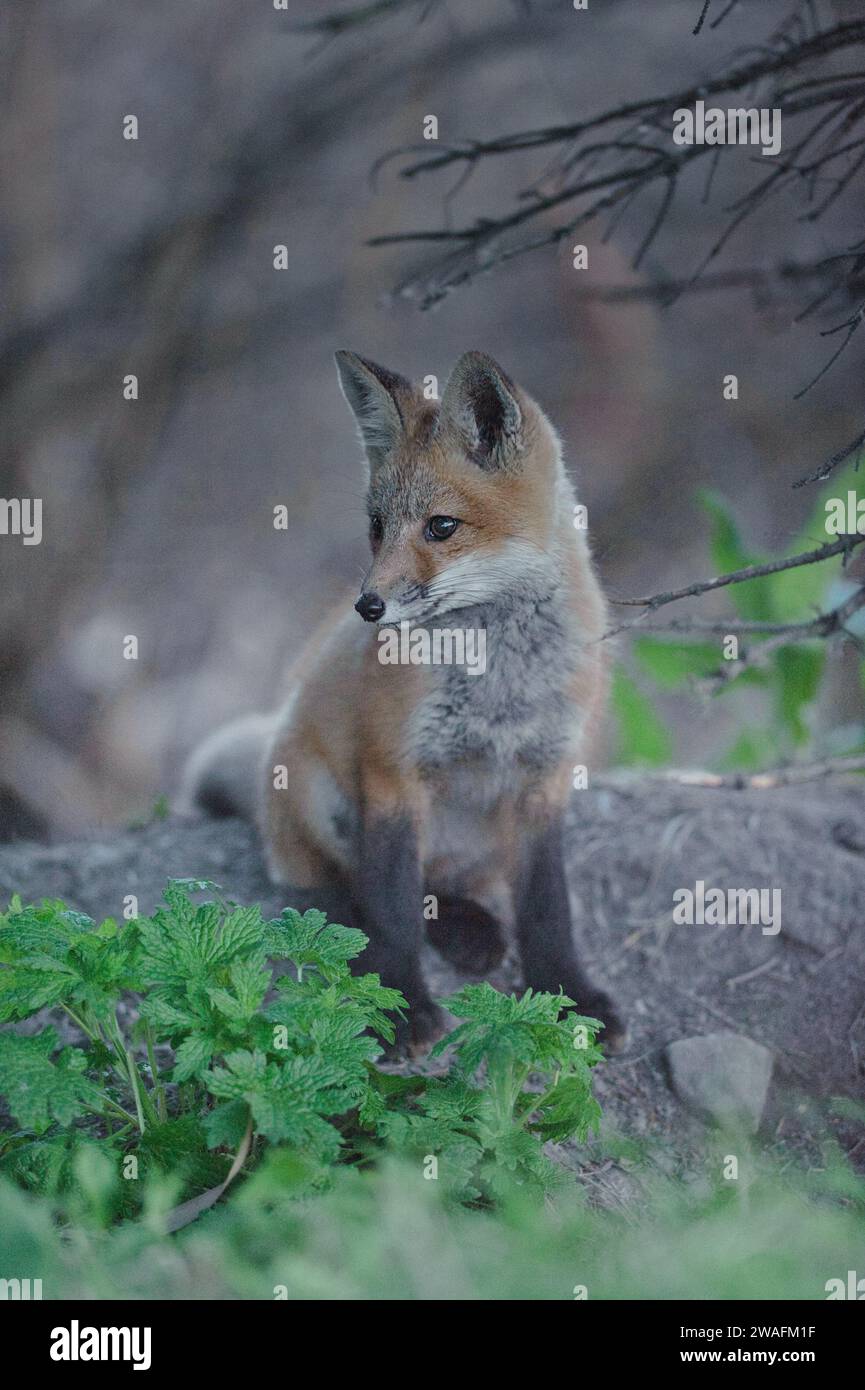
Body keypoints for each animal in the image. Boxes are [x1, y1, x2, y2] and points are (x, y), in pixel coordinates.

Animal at [184, 350, 625, 1054]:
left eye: (441, 526)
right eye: (376, 526)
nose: (367, 606)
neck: (499, 678)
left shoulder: (545, 778)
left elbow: (548, 910)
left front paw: (570, 994)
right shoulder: (391, 773)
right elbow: (390, 914)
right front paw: (402, 1007)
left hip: (477, 840)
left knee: (435, 887)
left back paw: (469, 928)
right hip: (315, 796)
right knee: (332, 892)